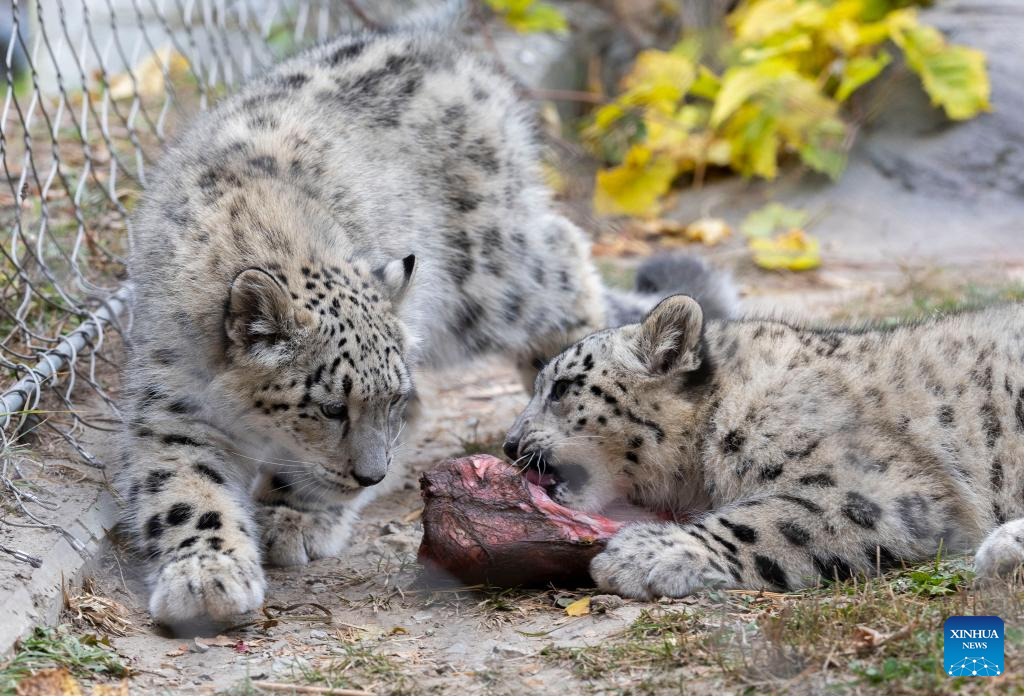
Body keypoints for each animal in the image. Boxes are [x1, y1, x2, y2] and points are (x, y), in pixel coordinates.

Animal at [115, 13, 737, 626]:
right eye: (330, 408)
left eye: (388, 397)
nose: (370, 475)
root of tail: (450, 55)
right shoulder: (174, 405)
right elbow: (185, 488)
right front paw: (205, 576)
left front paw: (294, 516)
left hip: (490, 278)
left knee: (563, 255)